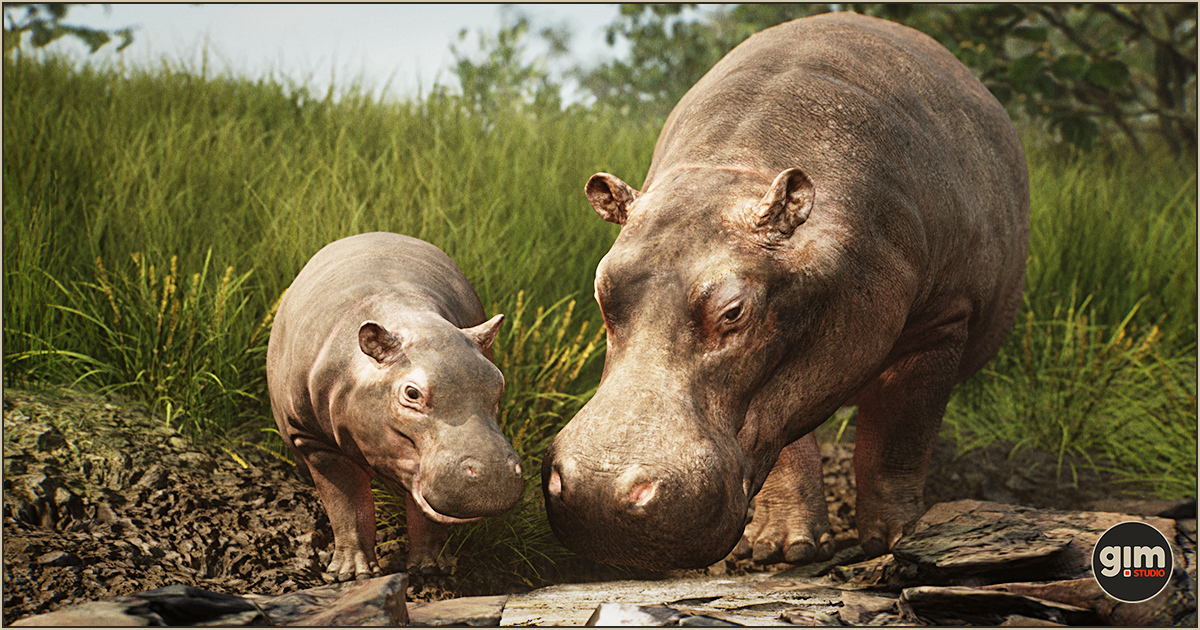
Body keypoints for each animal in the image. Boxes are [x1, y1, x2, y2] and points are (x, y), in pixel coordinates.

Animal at [267, 232, 523, 581]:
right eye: (412, 393)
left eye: (498, 381)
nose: (494, 474)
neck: (407, 314)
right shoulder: (313, 440)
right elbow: (347, 504)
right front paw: (353, 575)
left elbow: (424, 515)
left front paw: (430, 569)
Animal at [542, 12, 1029, 570]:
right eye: (602, 289)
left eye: (734, 311)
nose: (598, 492)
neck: (737, 165)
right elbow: (788, 450)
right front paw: (785, 550)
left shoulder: (944, 320)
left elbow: (901, 437)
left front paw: (899, 539)